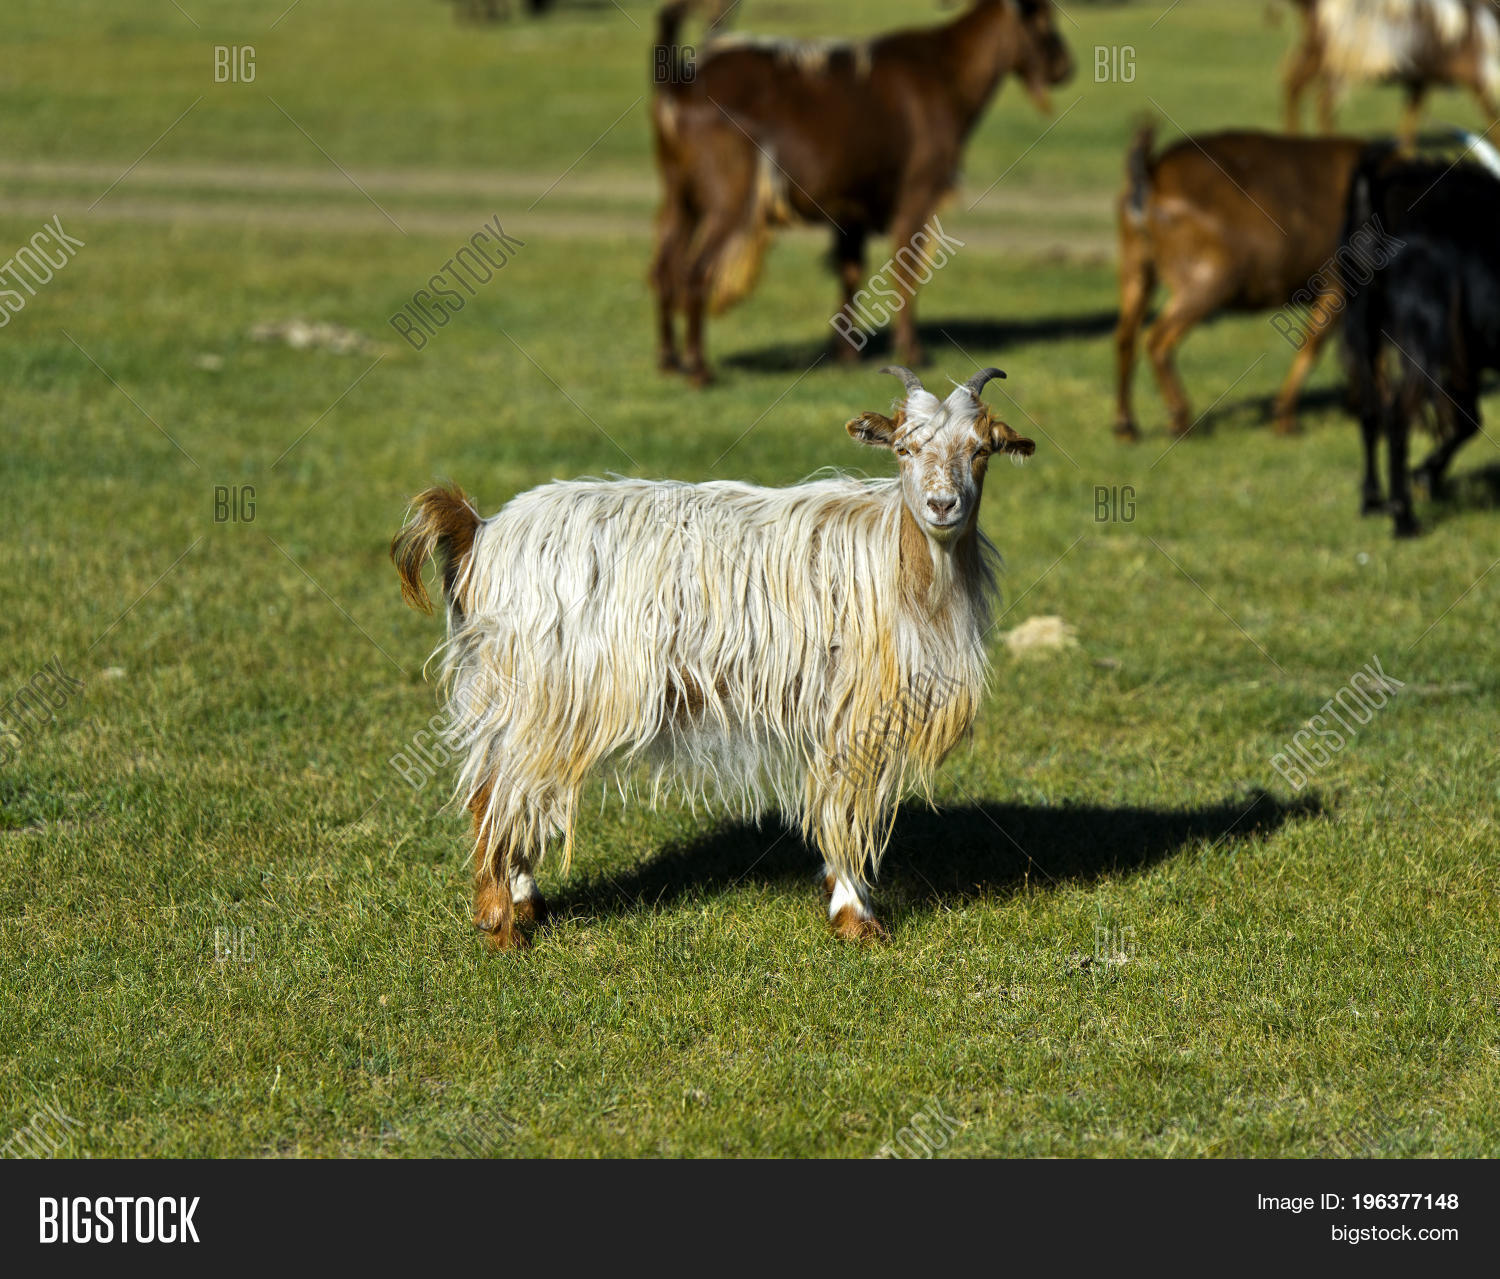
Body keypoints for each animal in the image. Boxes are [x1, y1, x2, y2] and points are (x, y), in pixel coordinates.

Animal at [391, 366, 1036, 948]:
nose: (942, 504)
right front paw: (857, 917)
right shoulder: (854, 708)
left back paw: (523, 905)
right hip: (546, 692)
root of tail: (481, 533)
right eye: (904, 448)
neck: (901, 560)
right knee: (498, 793)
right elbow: (844, 807)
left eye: (981, 449)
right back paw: (502, 926)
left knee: (507, 789)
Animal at [649, 0, 1073, 386]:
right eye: (1043, 19)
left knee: (665, 265)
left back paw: (670, 362)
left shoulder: (849, 207)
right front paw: (913, 352)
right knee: (694, 270)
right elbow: (906, 271)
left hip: (679, 196)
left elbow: (850, 270)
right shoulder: (917, 191)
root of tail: (680, 85)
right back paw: (699, 370)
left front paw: (846, 354)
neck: (946, 71)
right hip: (729, 199)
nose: (1065, 68)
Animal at [1114, 126, 1369, 440]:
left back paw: (1126, 428)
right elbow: (1313, 344)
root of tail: (1149, 174)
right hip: (1210, 276)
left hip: (1135, 266)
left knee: (1125, 337)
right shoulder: (1338, 283)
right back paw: (1181, 422)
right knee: (1158, 339)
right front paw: (1285, 420)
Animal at [1284, 0, 1500, 142]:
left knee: (1294, 88)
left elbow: (1408, 127)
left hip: (1315, 56)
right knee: (1322, 104)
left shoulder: (1420, 79)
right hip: (1336, 65)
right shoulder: (1477, 76)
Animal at [1340, 137, 1500, 535]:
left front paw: (1427, 475)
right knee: (1398, 414)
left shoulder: (1468, 354)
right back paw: (1404, 520)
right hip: (1424, 327)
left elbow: (1469, 420)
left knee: (1371, 411)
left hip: (1364, 323)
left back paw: (1373, 501)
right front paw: (1425, 476)